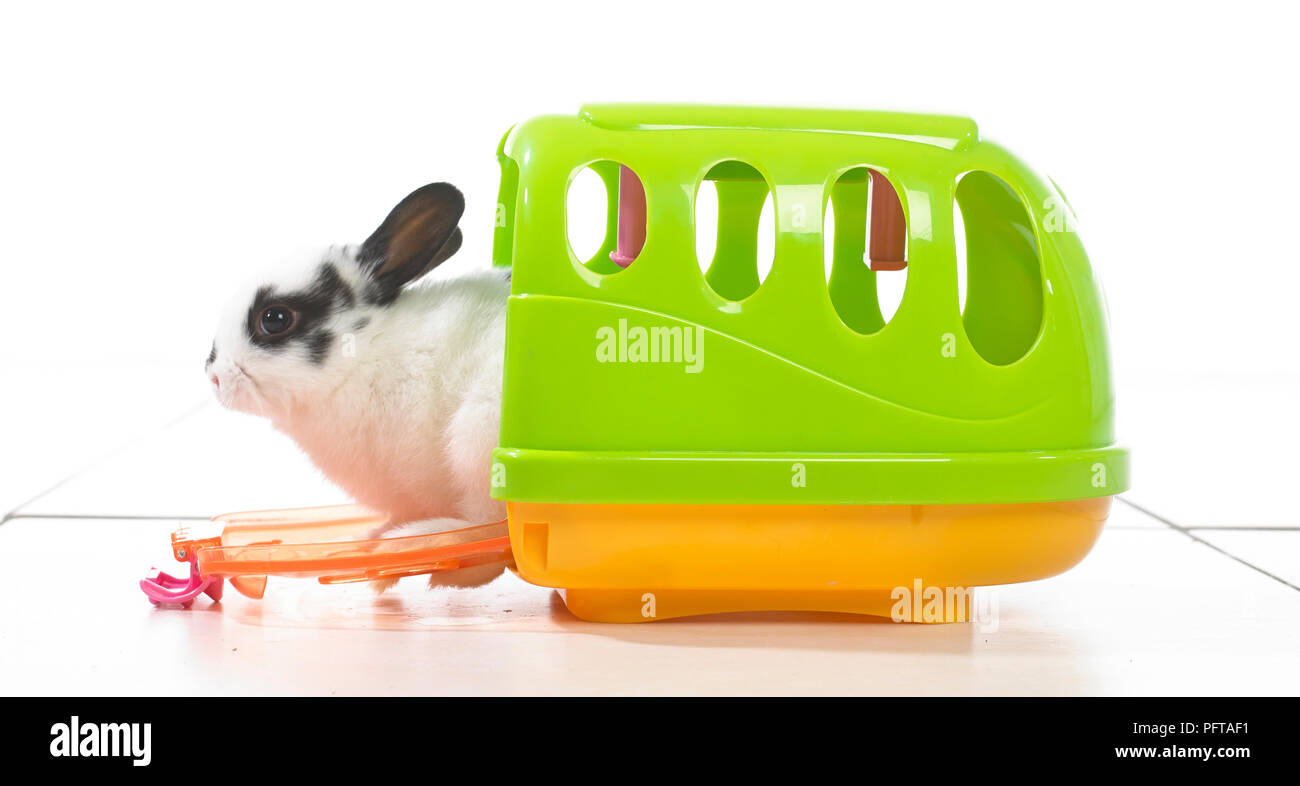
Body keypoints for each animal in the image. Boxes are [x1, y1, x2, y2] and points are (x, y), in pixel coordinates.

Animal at [205, 182, 510, 590]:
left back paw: (410, 549)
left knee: (491, 533)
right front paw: (370, 535)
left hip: (478, 437)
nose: (214, 376)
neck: (364, 356)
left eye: (275, 319)